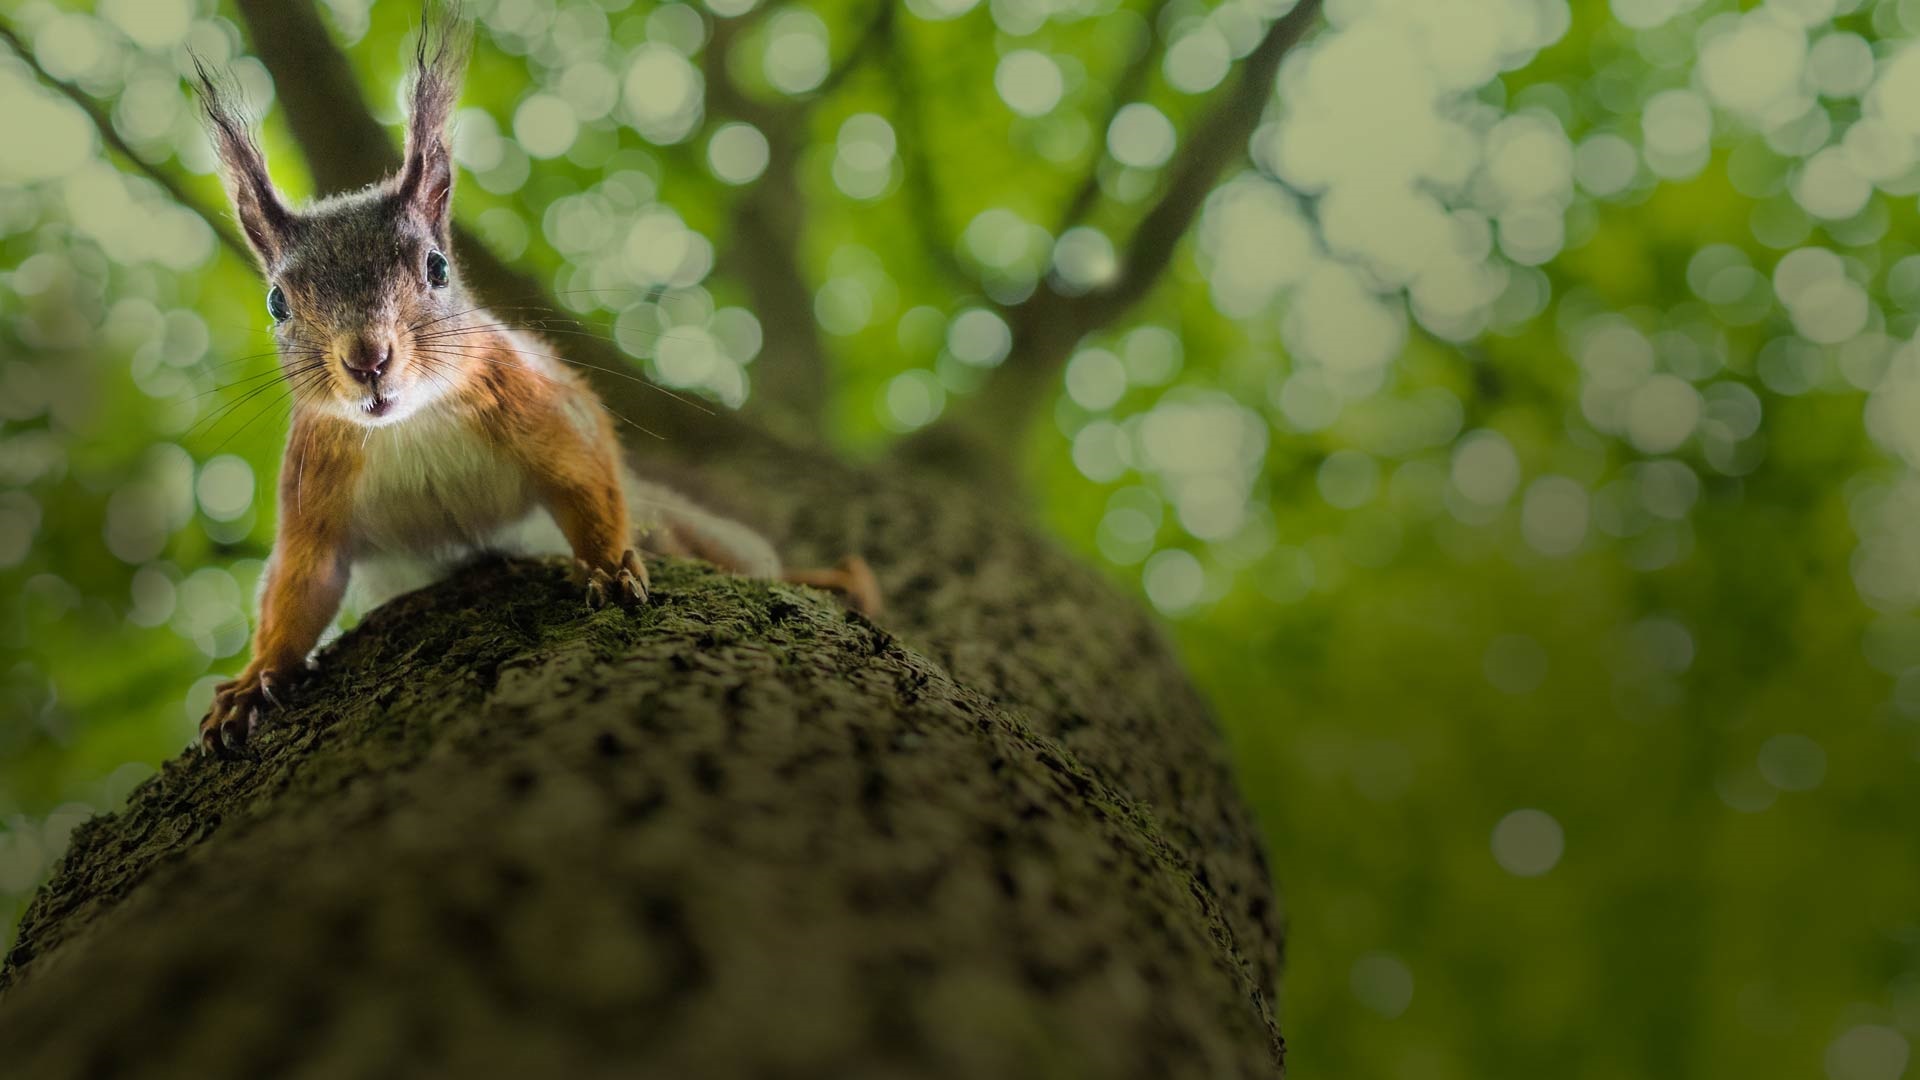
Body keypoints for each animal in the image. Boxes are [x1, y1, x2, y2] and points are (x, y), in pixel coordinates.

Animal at [190, 21, 879, 756]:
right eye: (276, 303)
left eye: (437, 267)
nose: (368, 359)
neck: (413, 425)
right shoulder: (315, 482)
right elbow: (302, 585)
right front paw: (251, 682)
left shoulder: (539, 402)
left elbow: (585, 482)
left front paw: (607, 566)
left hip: (686, 523)